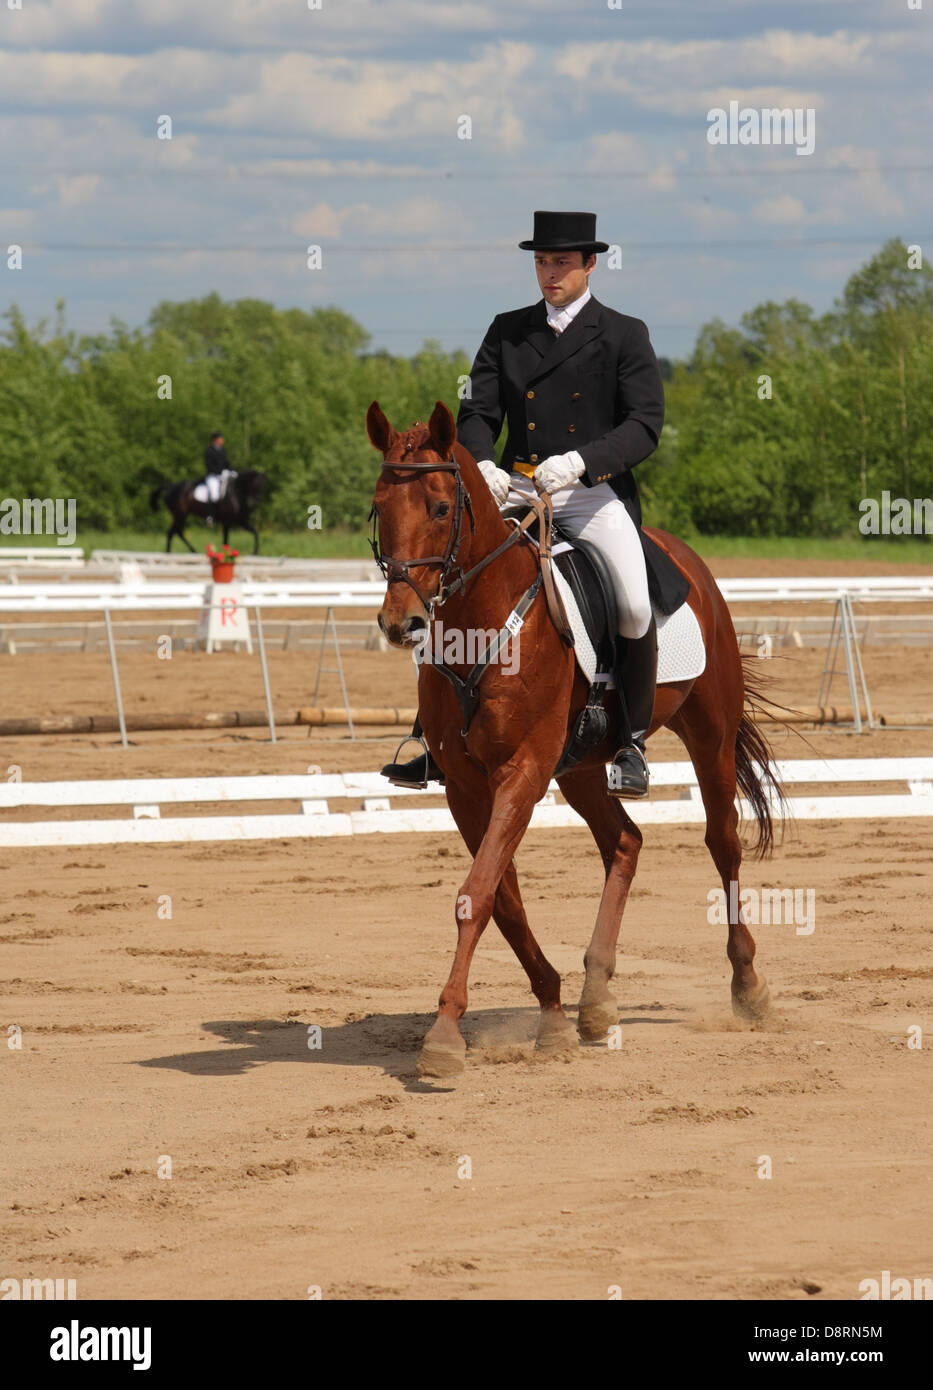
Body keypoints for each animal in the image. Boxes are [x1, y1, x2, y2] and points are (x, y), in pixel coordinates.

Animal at [367, 399, 786, 1079]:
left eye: (440, 507)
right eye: (381, 507)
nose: (399, 622)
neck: (483, 622)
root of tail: (685, 559)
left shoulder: (524, 771)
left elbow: (476, 893)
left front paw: (445, 1035)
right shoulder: (465, 786)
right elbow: (500, 898)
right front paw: (552, 1014)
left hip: (709, 735)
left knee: (722, 843)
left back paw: (748, 986)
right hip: (584, 766)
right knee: (625, 843)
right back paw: (596, 998)